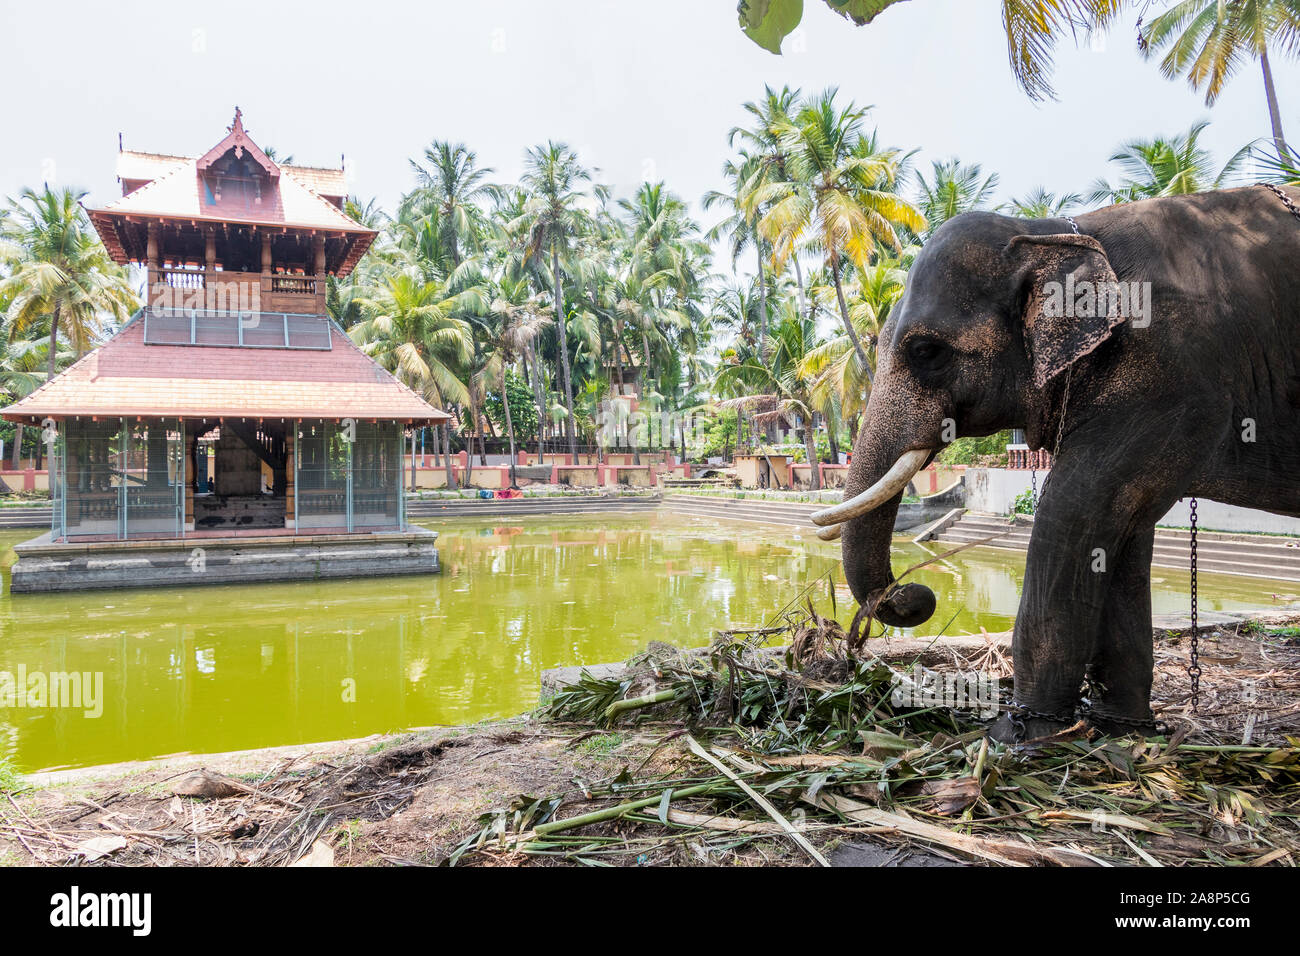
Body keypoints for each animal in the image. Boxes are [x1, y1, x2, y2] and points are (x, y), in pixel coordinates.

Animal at [811, 184, 1300, 742]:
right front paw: (1119, 727)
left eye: (926, 350)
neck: (1053, 233)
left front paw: (1017, 736)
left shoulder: (1173, 376)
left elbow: (1073, 516)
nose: (914, 594)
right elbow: (1120, 537)